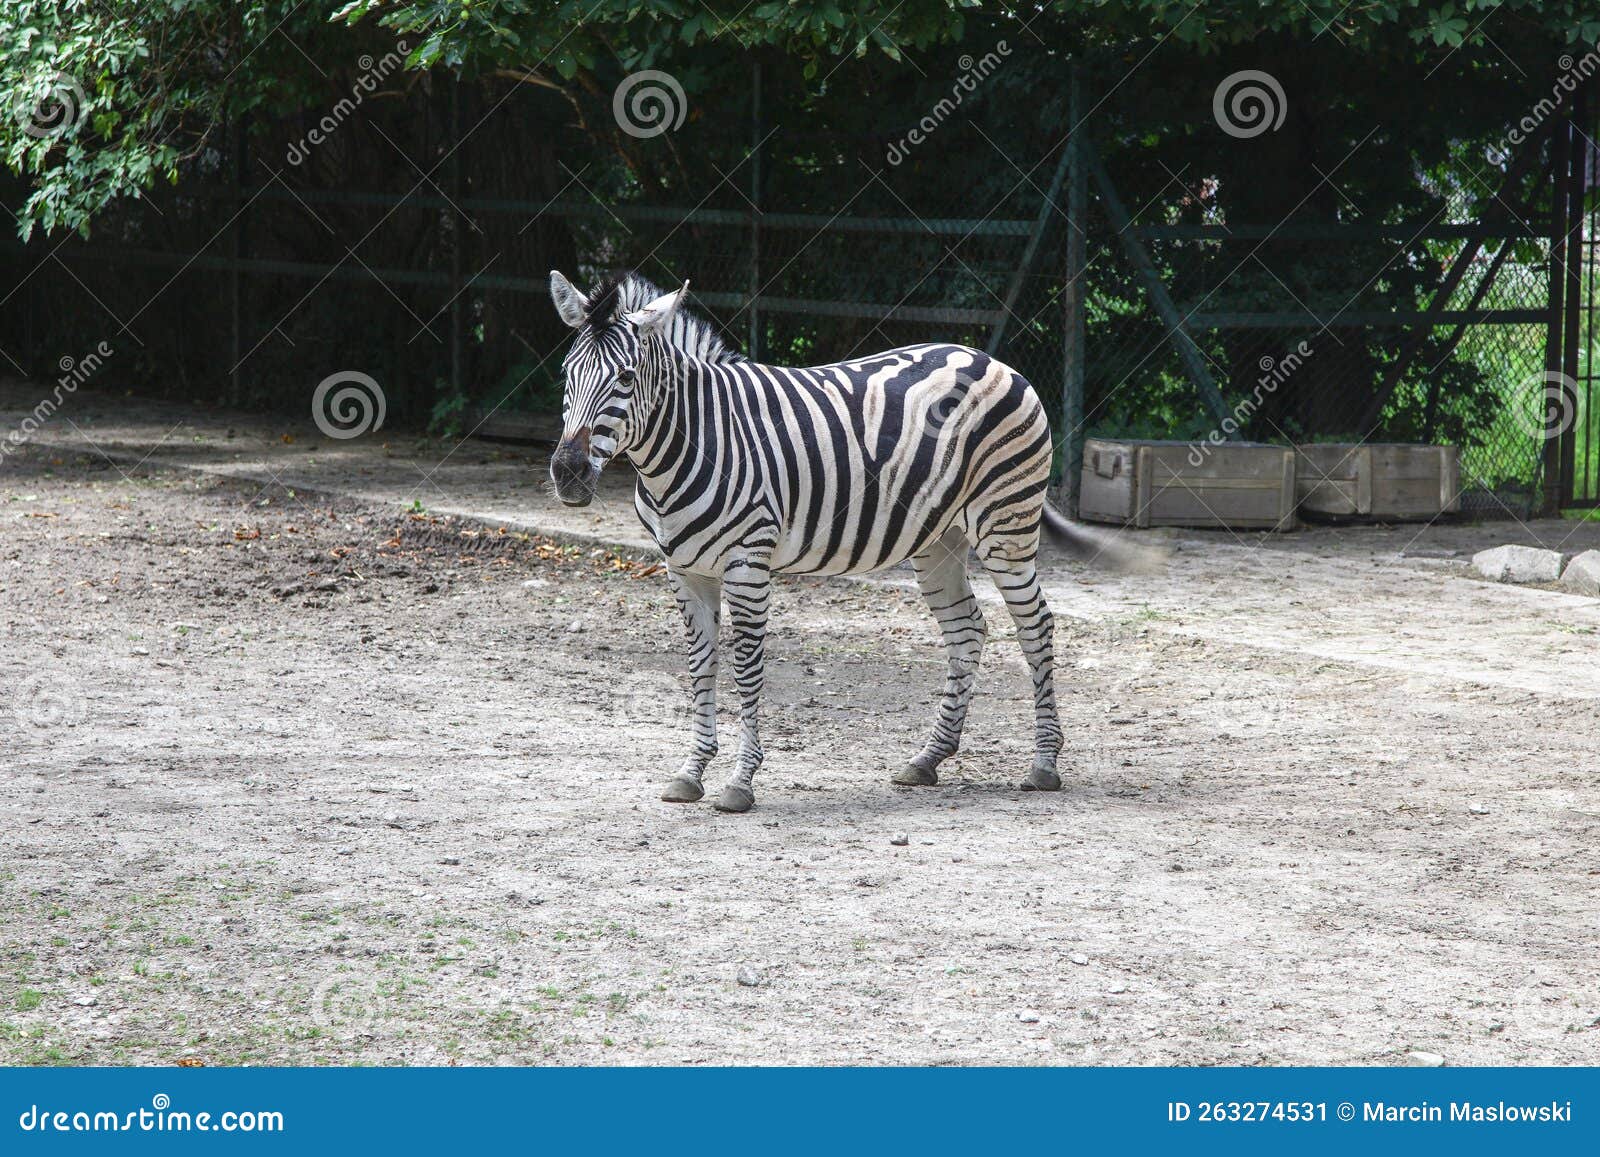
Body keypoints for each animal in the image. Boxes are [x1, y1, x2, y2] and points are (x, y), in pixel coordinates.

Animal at [547, 270, 1143, 813]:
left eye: (626, 378)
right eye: (566, 373)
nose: (569, 473)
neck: (688, 444)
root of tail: (992, 360)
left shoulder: (747, 563)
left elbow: (745, 665)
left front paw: (740, 782)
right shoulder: (683, 569)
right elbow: (700, 666)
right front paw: (691, 773)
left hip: (1005, 525)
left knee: (1035, 627)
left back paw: (1044, 764)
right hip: (939, 538)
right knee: (967, 628)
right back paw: (928, 758)